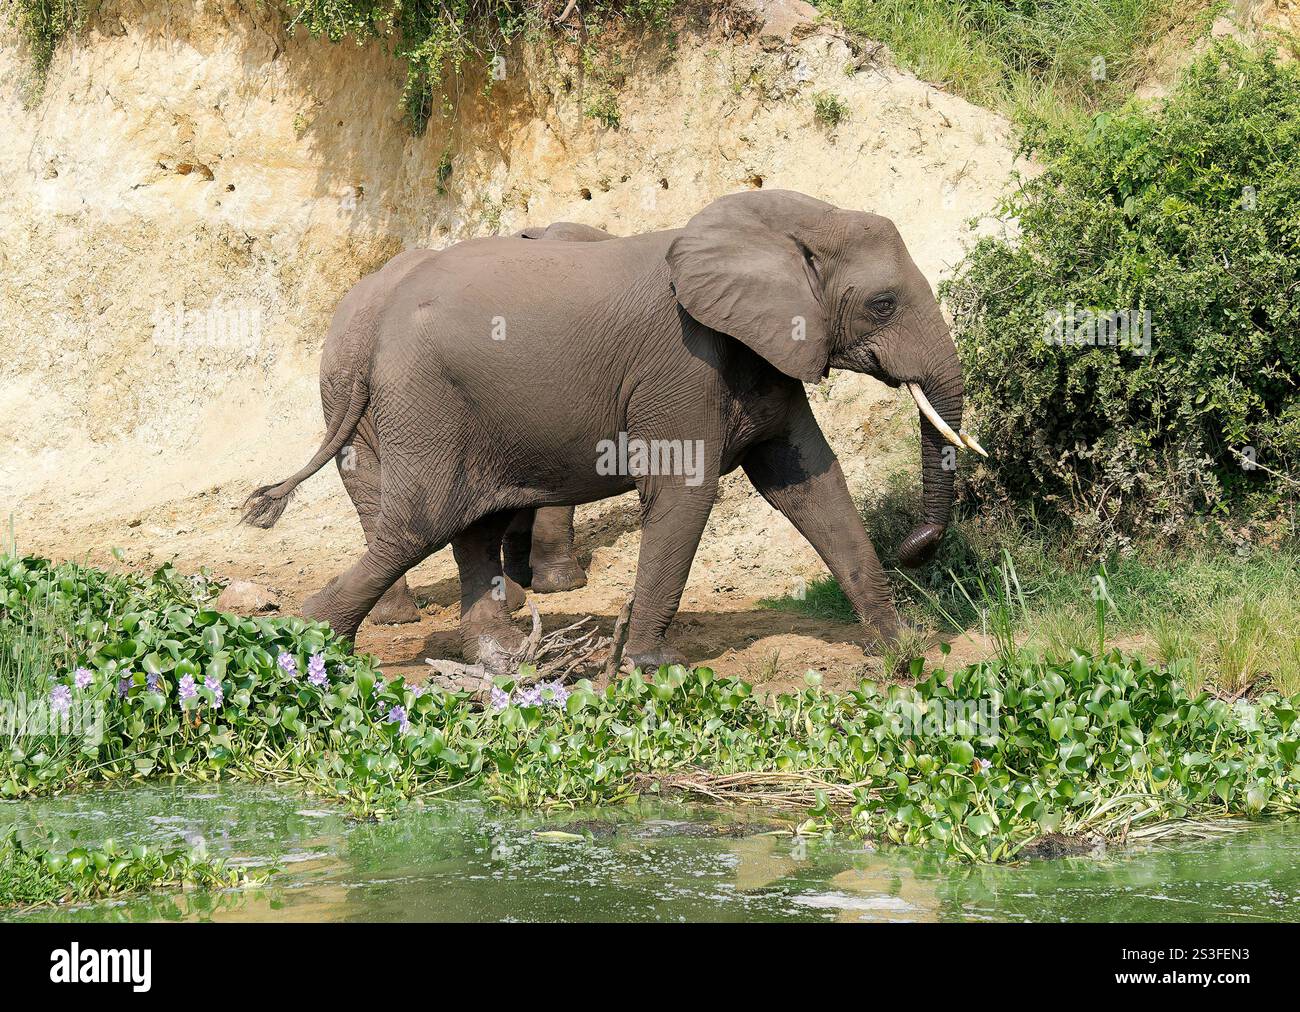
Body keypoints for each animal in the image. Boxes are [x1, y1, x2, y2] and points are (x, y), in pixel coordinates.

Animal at [318, 220, 608, 626]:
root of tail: (364, 331)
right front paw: (562, 586)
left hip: (343, 401)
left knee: (375, 501)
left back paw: (394, 616)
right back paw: (511, 597)